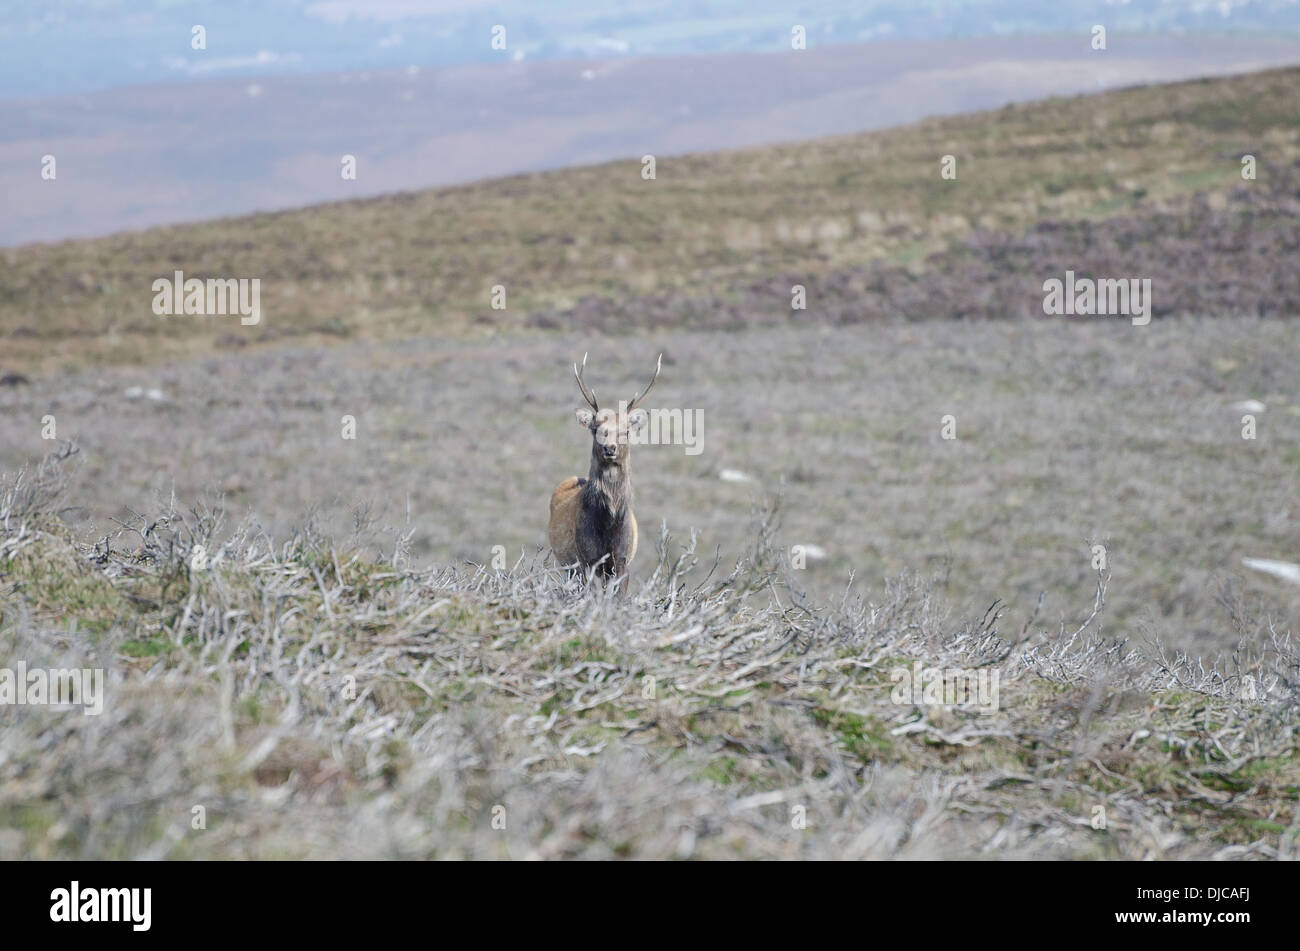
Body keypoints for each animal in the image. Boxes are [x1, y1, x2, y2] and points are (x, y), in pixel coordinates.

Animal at [548, 352, 661, 594]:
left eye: (626, 431)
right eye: (595, 429)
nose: (610, 448)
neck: (609, 527)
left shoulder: (622, 559)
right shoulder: (586, 558)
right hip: (567, 566)